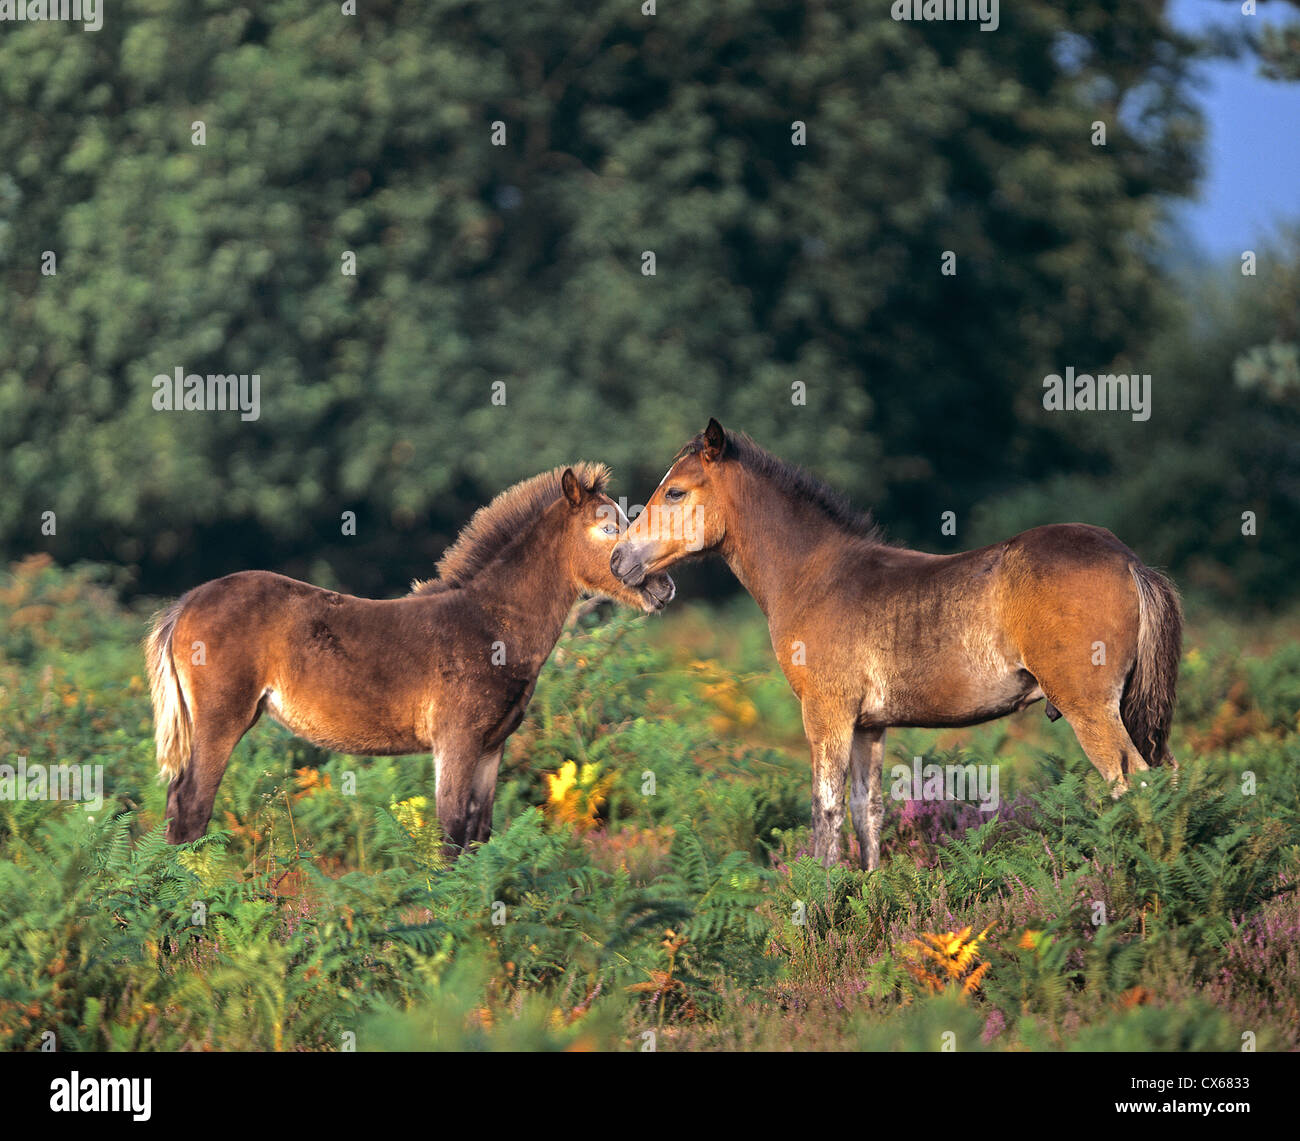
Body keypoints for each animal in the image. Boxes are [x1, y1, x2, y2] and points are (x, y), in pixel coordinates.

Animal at [146, 464, 674, 852]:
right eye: (607, 527)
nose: (663, 586)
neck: (489, 624)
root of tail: (186, 602)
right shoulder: (456, 741)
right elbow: (450, 830)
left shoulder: (491, 747)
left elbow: (479, 833)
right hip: (222, 719)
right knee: (192, 806)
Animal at [610, 419, 1181, 871]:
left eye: (675, 492)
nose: (619, 560)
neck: (814, 577)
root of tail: (1130, 562)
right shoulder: (870, 724)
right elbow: (868, 810)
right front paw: (869, 895)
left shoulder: (827, 711)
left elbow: (825, 808)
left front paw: (818, 903)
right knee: (1167, 777)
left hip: (1089, 706)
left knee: (1133, 783)